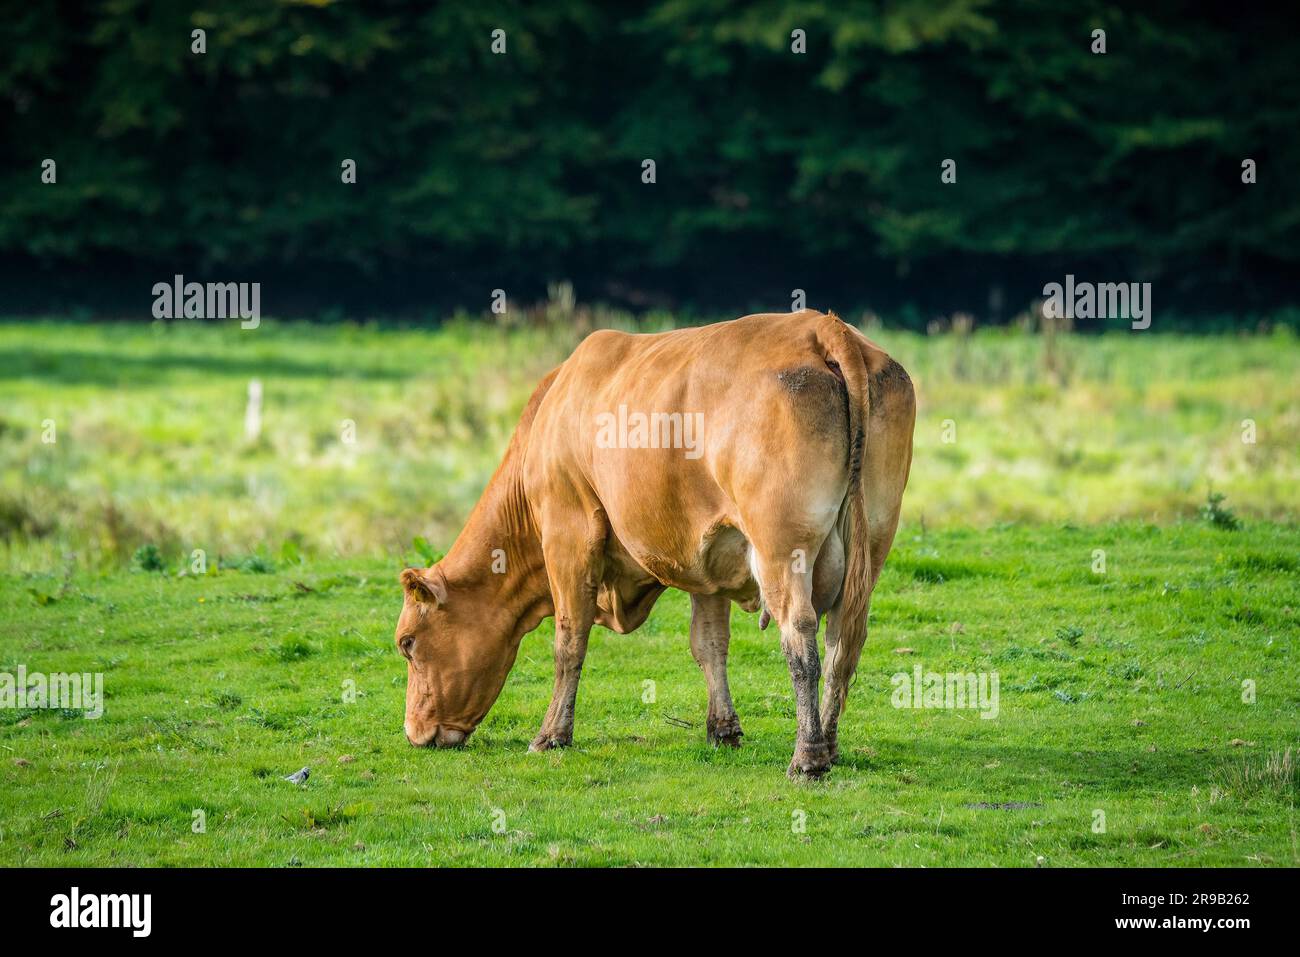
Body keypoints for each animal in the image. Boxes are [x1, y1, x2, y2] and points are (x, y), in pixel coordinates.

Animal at [395, 309, 915, 776]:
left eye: (407, 642)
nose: (414, 734)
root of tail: (823, 326)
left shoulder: (568, 530)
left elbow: (569, 639)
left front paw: (551, 735)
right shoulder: (710, 559)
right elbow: (709, 644)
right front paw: (723, 729)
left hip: (781, 546)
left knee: (801, 638)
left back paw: (807, 757)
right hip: (873, 542)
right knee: (843, 642)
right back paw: (829, 745)